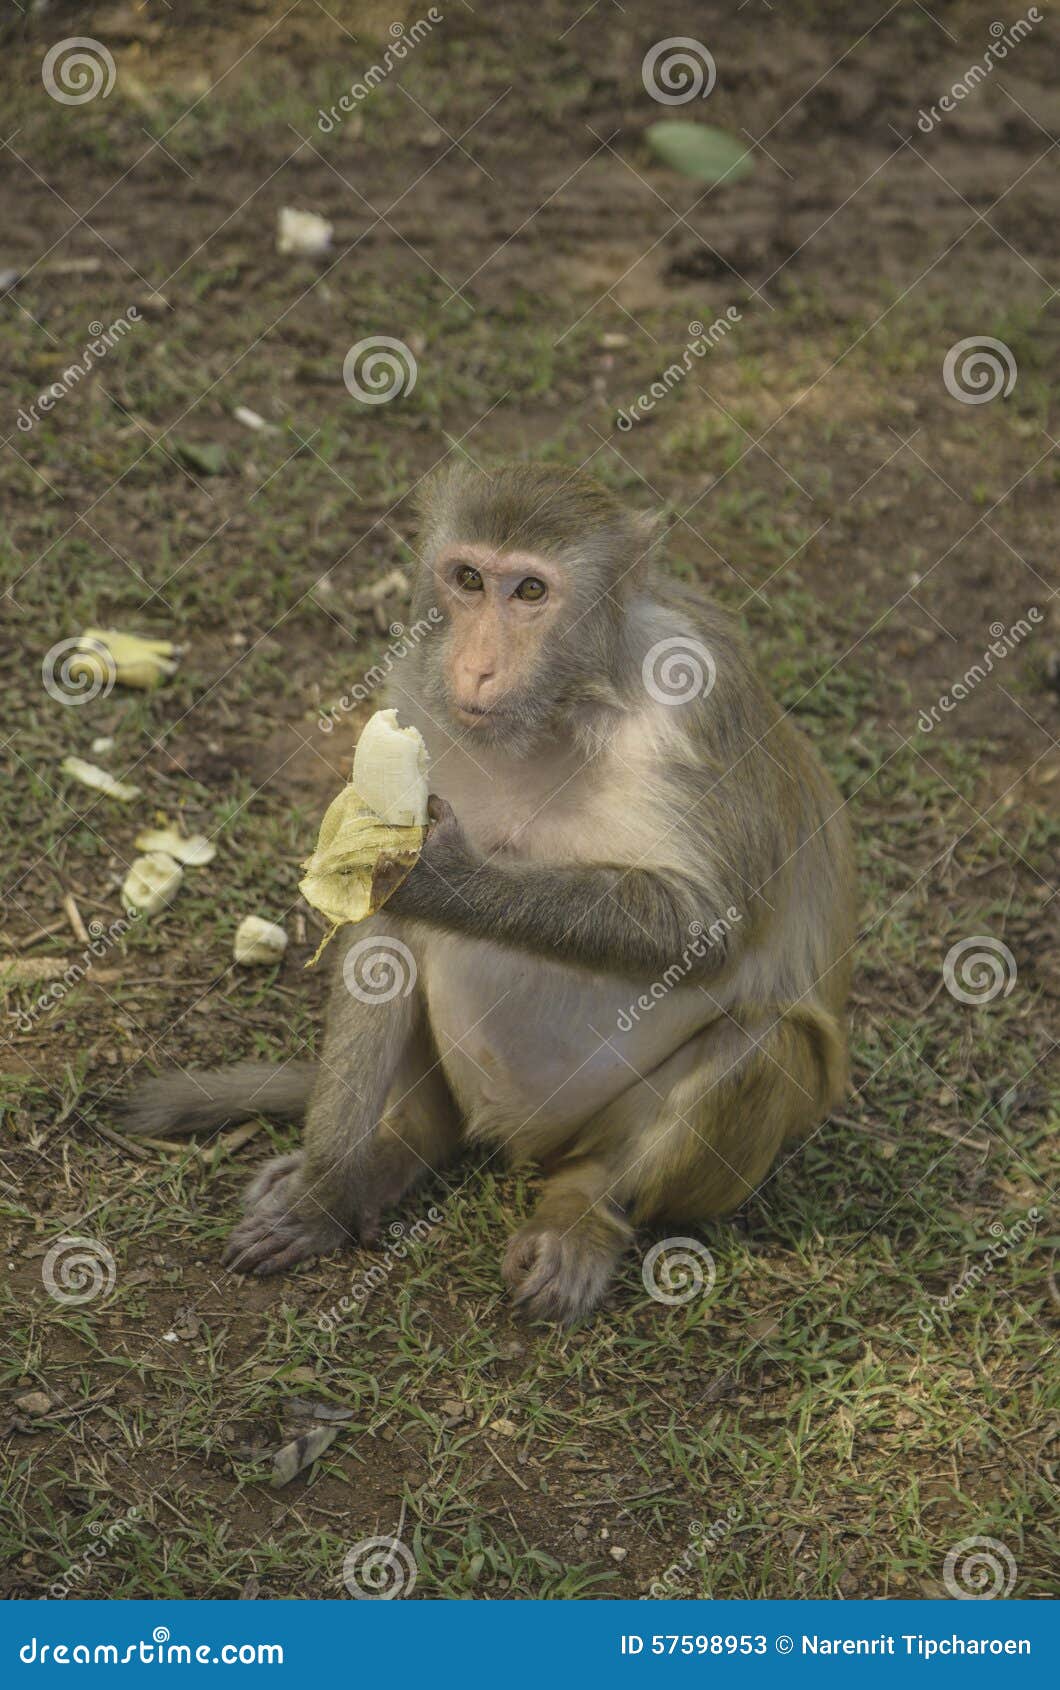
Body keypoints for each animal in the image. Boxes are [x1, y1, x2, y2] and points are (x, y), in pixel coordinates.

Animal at [122, 461, 856, 1324]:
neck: (566, 708)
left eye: (531, 591)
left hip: (607, 1138)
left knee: (760, 1046)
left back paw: (585, 1212)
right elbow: (378, 934)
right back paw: (391, 1149)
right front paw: (323, 1196)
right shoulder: (412, 688)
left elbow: (708, 926)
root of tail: (515, 1141)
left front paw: (440, 877)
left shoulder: (699, 702)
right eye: (469, 579)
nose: (474, 666)